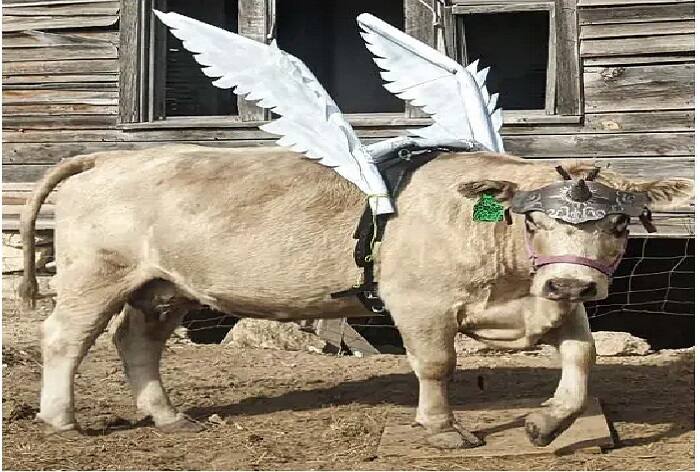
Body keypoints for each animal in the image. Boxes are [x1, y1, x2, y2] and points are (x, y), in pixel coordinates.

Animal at [20, 144, 692, 449]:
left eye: (619, 225)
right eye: (533, 219)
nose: (572, 281)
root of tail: (110, 154)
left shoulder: (541, 301)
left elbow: (583, 356)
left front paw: (545, 422)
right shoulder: (419, 303)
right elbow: (437, 364)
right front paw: (444, 430)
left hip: (163, 287)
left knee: (138, 342)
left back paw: (168, 415)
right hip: (95, 276)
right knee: (65, 339)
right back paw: (62, 419)